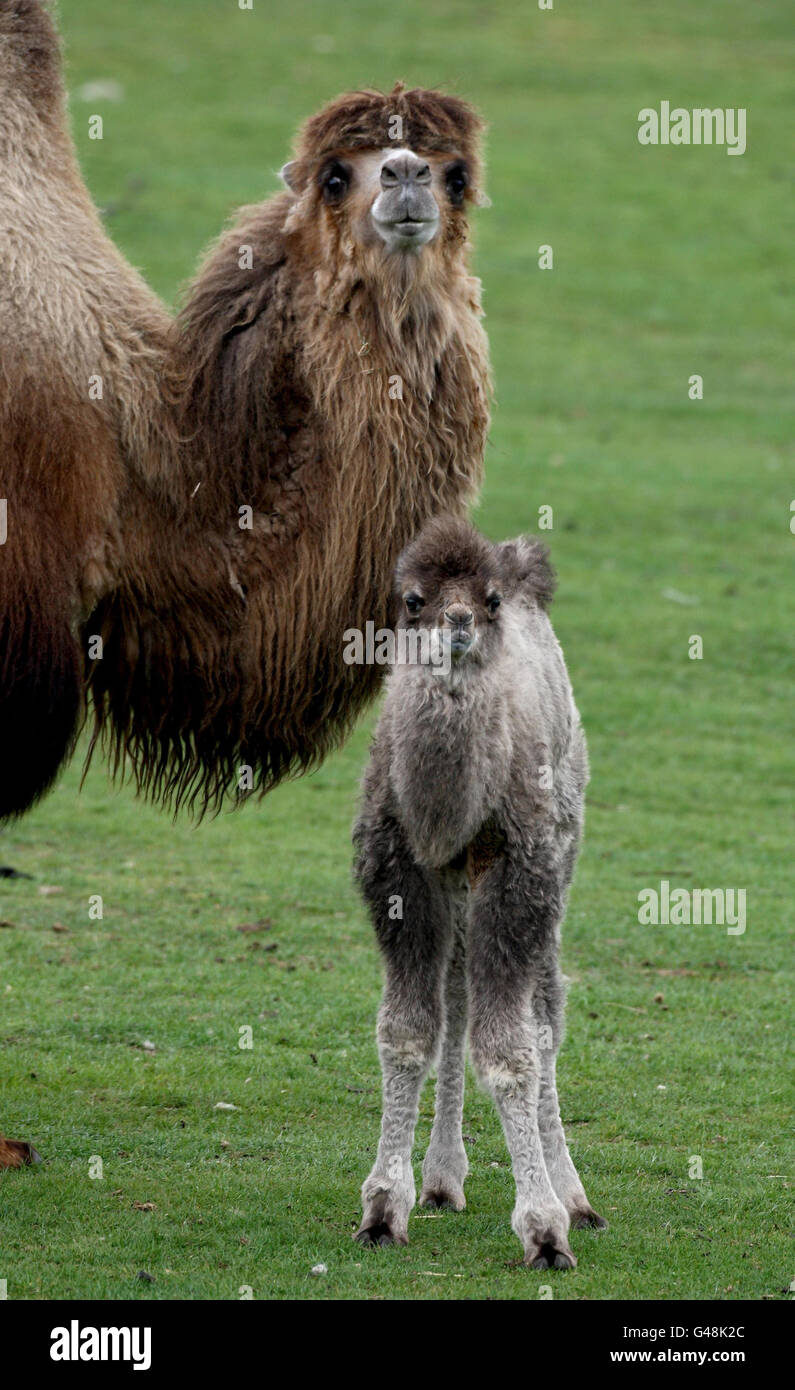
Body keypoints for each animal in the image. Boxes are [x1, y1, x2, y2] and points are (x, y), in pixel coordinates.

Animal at [353, 517, 606, 1268]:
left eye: (488, 599)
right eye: (412, 600)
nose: (458, 622)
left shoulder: (518, 870)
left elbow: (512, 1048)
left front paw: (544, 1228)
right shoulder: (398, 871)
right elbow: (407, 1031)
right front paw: (384, 1208)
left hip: (561, 847)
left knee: (545, 1013)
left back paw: (574, 1196)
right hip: (460, 889)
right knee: (460, 993)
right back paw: (443, 1180)